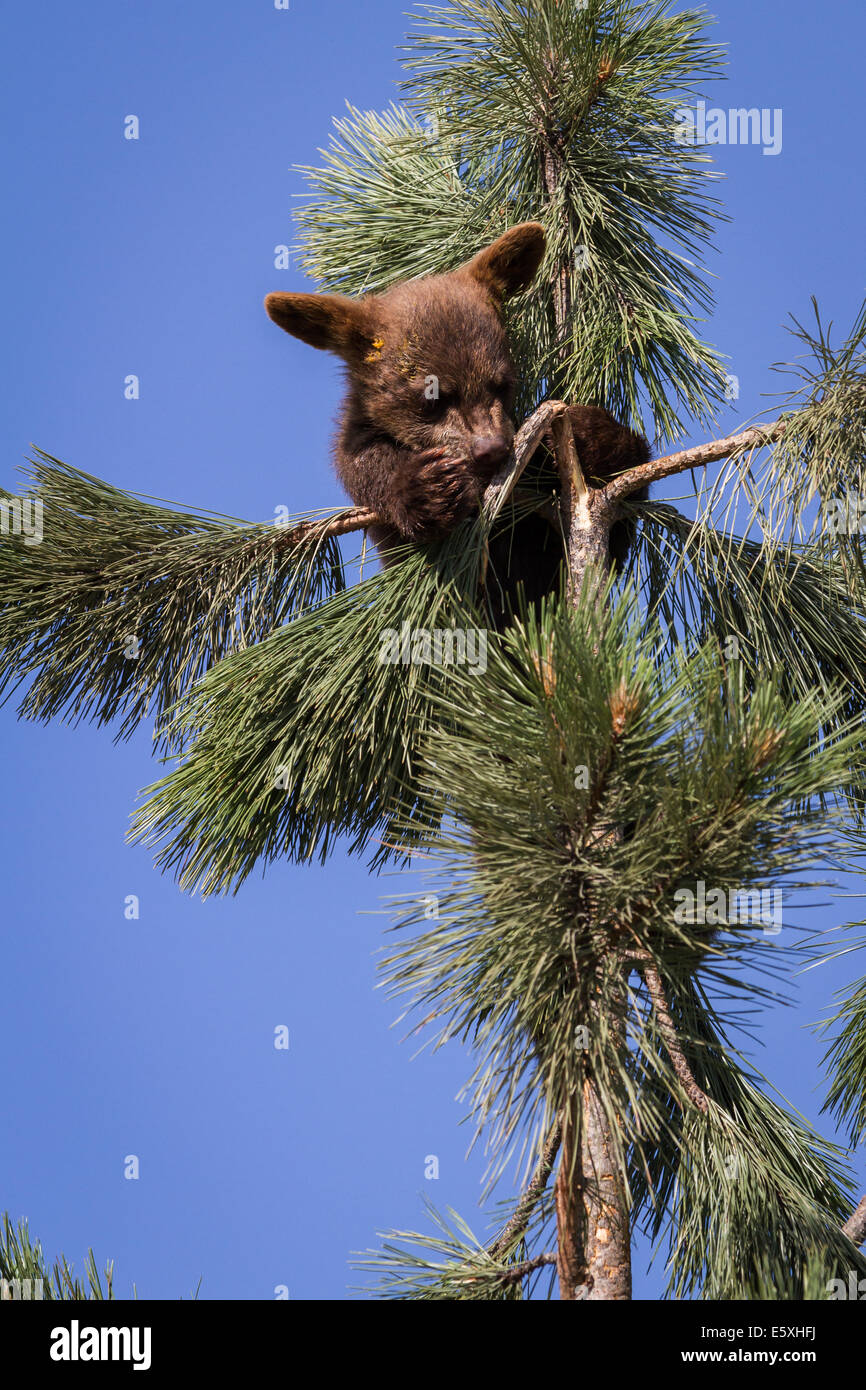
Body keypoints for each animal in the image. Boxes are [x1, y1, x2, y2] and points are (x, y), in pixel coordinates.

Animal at [264, 222, 650, 618]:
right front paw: (428, 488)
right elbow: (364, 464)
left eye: (502, 384)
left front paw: (593, 435)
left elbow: (616, 532)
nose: (491, 450)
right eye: (431, 398)